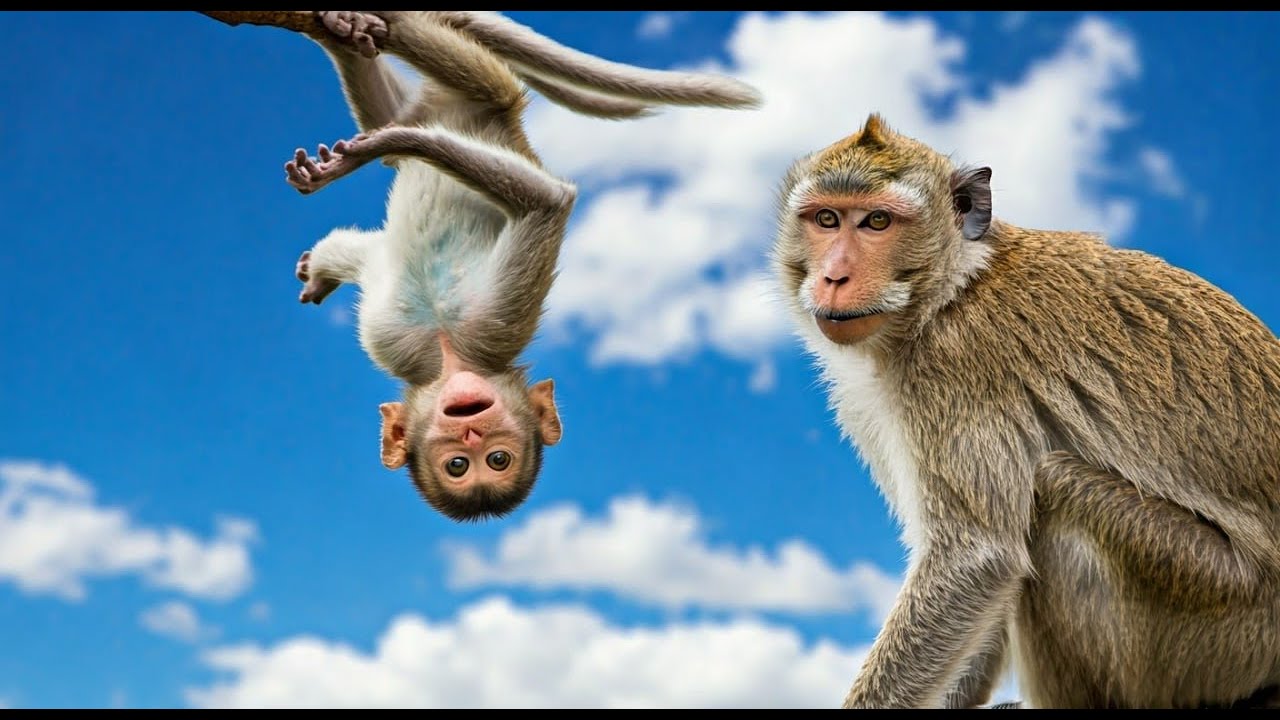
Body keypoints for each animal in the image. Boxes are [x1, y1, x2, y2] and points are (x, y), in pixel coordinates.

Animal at [270, 11, 760, 522]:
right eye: (459, 463)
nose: (469, 422)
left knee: (474, 89)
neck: (447, 350)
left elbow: (546, 200)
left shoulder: (481, 328)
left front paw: (397, 144)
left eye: (493, 460)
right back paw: (363, 30)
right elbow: (369, 249)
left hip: (480, 102)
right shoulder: (405, 339)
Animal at [770, 113, 1280, 708]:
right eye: (827, 219)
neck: (953, 287)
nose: (834, 277)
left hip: (1223, 623)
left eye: (877, 222)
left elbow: (975, 560)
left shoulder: (954, 370)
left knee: (1054, 499)